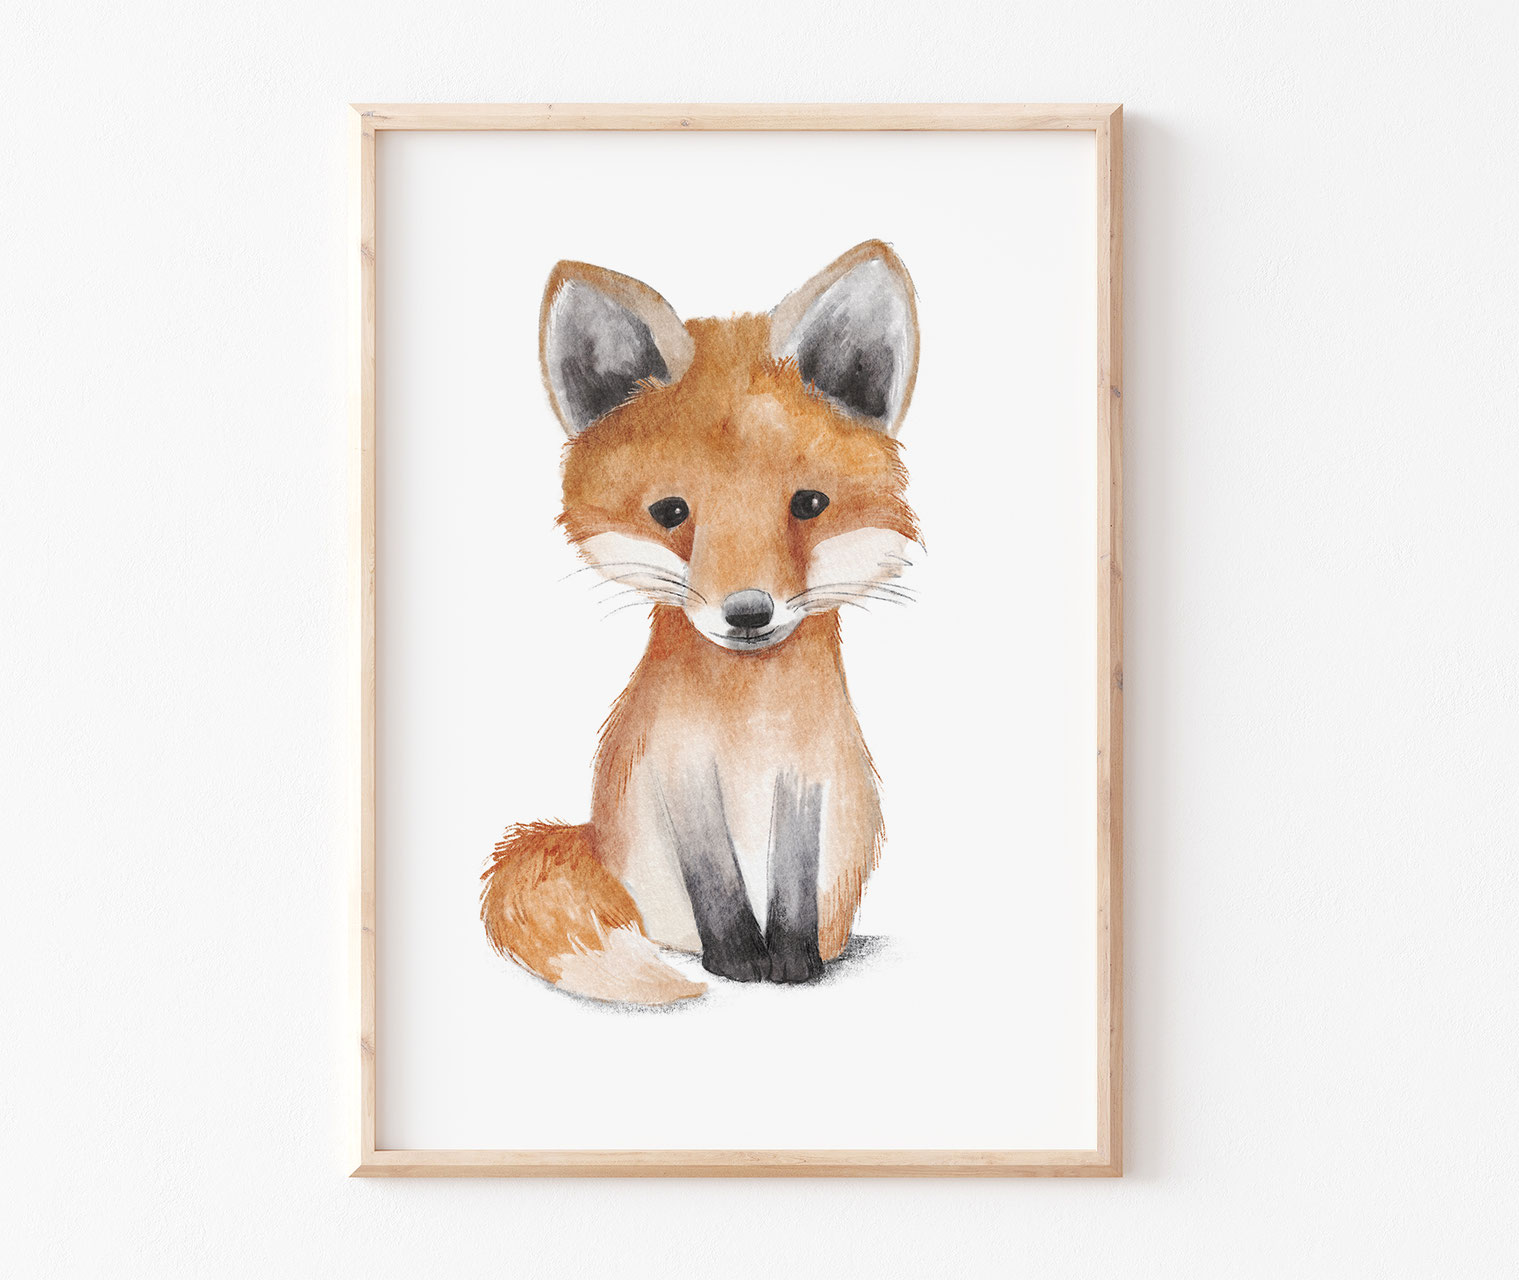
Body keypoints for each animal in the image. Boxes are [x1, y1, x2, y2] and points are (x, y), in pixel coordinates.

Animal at [481, 239, 921, 1004]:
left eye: (808, 504)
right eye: (671, 512)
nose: (747, 611)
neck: (750, 720)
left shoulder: (810, 775)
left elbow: (793, 886)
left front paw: (793, 962)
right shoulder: (676, 768)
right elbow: (715, 881)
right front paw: (737, 960)